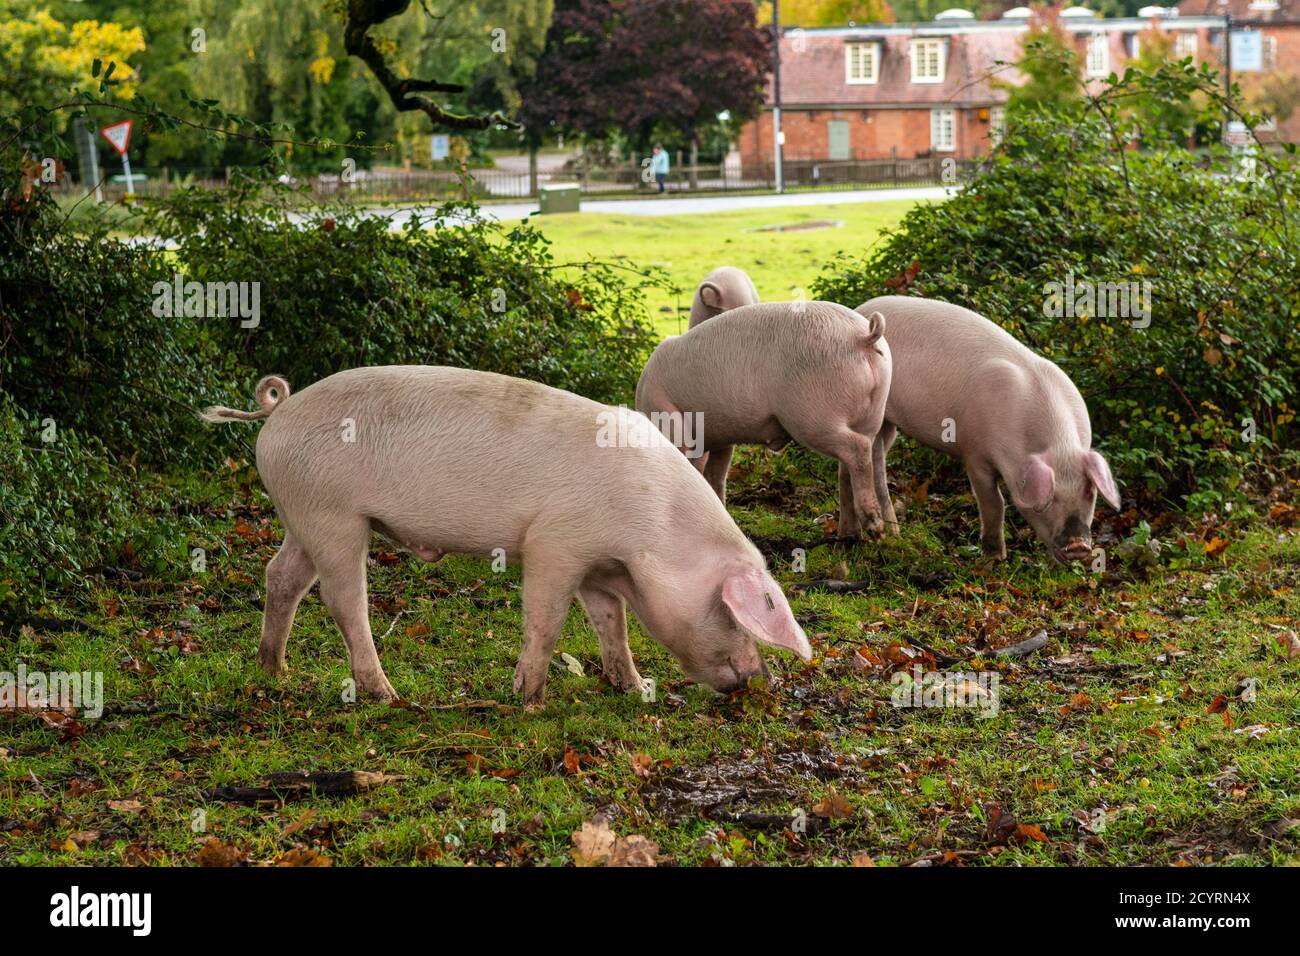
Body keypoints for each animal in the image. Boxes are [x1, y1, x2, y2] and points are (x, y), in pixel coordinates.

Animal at [201, 366, 811, 707]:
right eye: (736, 614)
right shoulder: (555, 544)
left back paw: (273, 670)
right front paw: (529, 700)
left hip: (301, 516)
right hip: (333, 516)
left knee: (281, 577)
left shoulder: (597, 563)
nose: (762, 680)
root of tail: (279, 410)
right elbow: (547, 619)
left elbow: (611, 624)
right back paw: (386, 694)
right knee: (343, 599)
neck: (652, 535)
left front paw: (634, 689)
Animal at [636, 301, 892, 539]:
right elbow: (716, 477)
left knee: (857, 448)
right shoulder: (721, 441)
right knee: (850, 464)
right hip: (872, 412)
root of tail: (862, 336)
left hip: (811, 413)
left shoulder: (671, 420)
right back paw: (848, 537)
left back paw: (875, 529)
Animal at [854, 296, 1121, 563]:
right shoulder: (975, 454)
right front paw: (995, 558)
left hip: (890, 424)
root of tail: (861, 309)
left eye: (1089, 492)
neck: (1058, 444)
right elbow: (995, 504)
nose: (1079, 546)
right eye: (1050, 497)